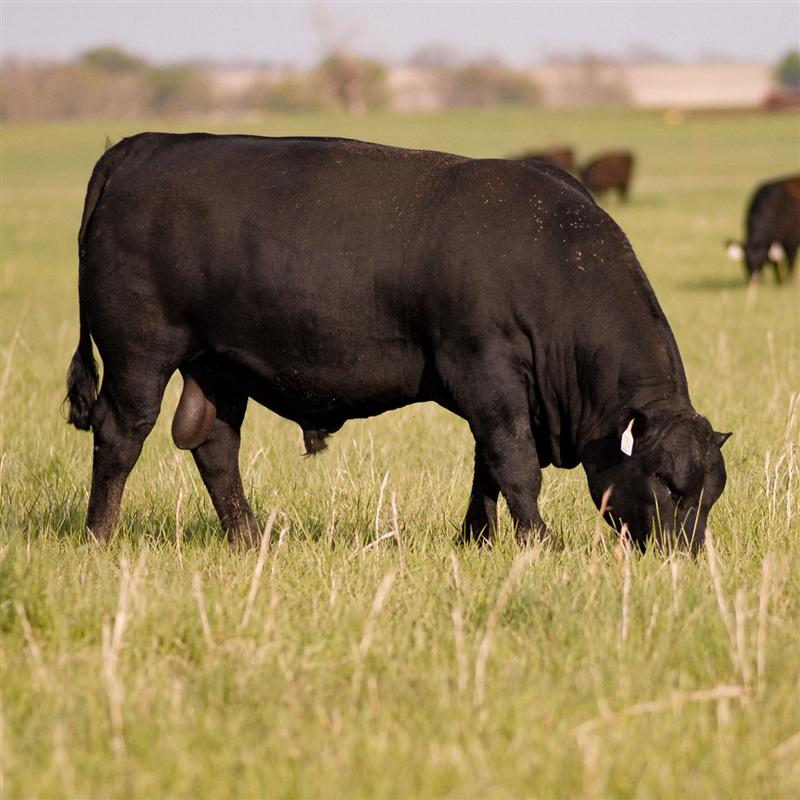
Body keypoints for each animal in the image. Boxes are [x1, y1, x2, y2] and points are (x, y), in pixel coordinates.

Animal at [66, 133, 730, 552]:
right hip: (139, 356)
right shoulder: (488, 376)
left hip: (219, 367)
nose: (686, 557)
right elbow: (513, 464)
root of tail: (144, 145)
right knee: (120, 435)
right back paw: (100, 538)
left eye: (712, 493)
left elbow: (486, 469)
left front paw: (475, 540)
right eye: (668, 483)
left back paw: (250, 541)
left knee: (215, 448)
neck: (553, 259)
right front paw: (539, 544)